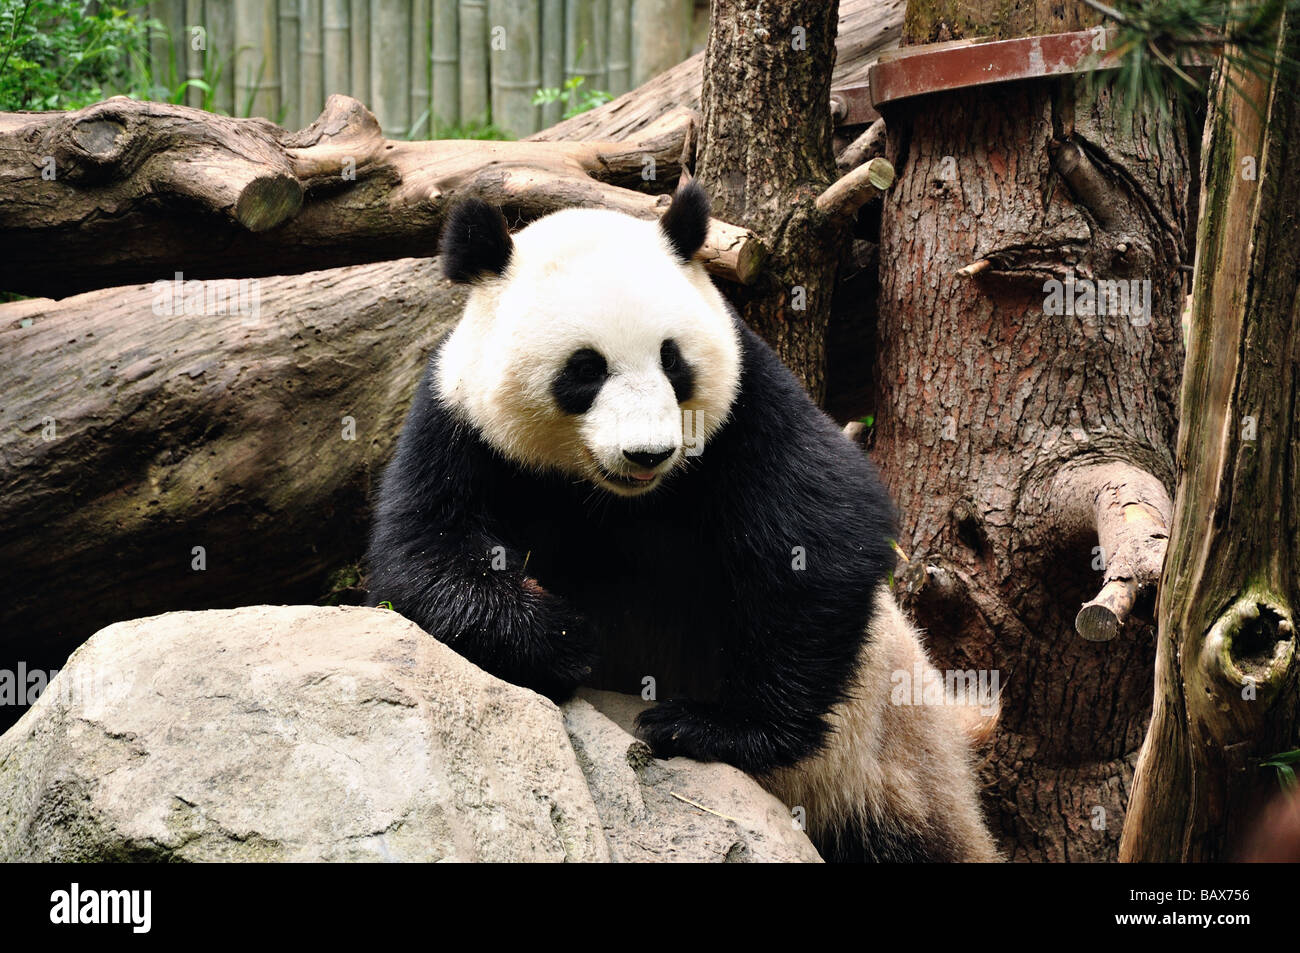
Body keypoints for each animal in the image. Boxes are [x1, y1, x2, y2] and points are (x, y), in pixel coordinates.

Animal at [365, 183, 1000, 863]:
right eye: (585, 369)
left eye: (673, 360)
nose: (648, 453)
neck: (613, 496)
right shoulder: (459, 424)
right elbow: (419, 556)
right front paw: (562, 636)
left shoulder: (748, 402)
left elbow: (824, 529)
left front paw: (714, 727)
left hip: (882, 758)